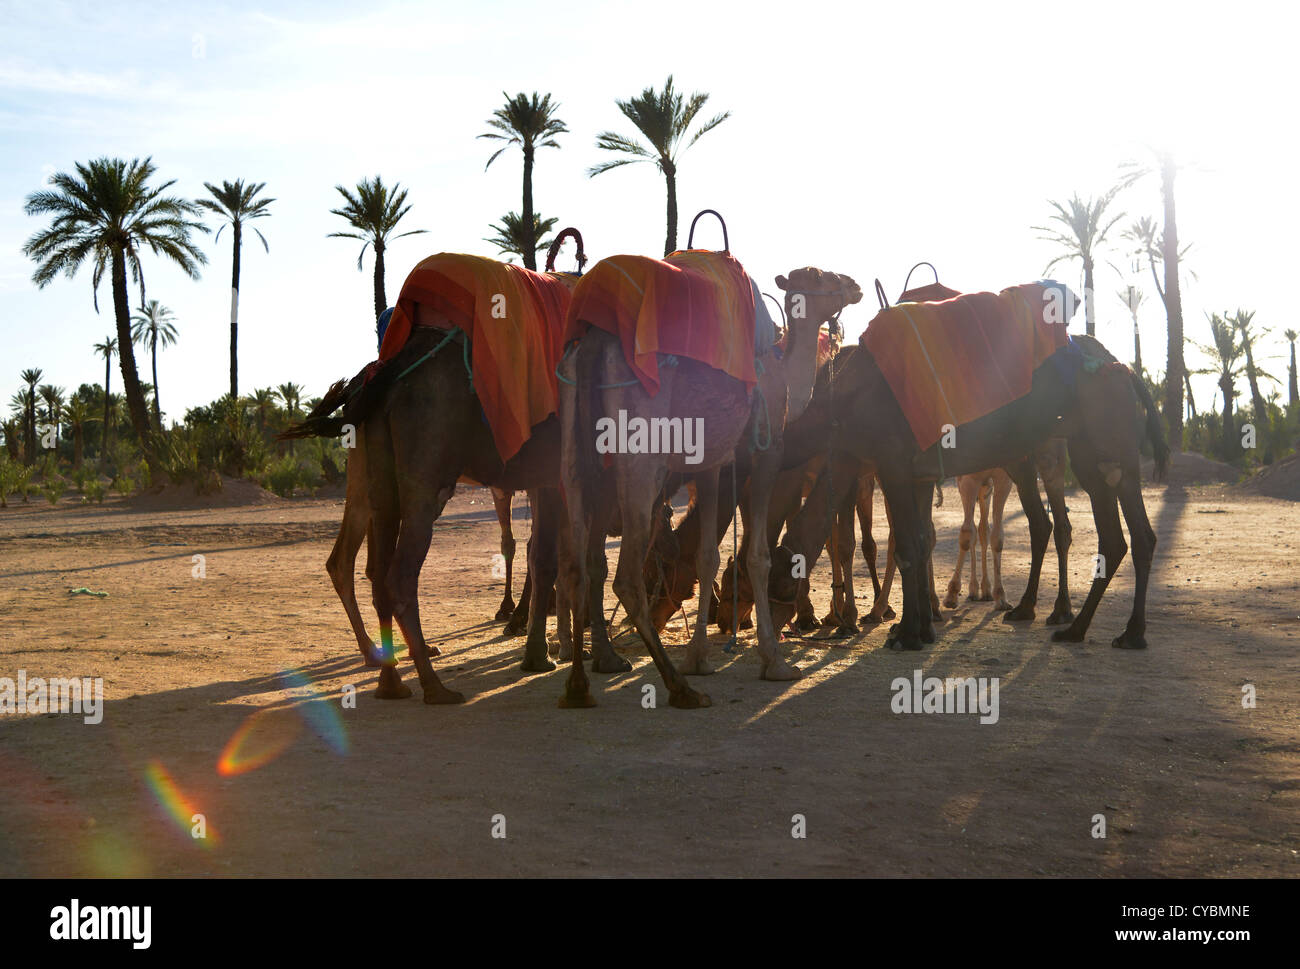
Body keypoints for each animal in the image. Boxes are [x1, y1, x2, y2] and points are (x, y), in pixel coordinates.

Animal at [558, 266, 862, 709]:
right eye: (822, 277)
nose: (853, 285)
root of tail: (594, 346)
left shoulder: (713, 465)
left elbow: (706, 557)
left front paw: (699, 657)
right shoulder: (766, 451)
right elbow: (757, 556)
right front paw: (774, 661)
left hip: (577, 460)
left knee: (578, 564)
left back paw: (582, 683)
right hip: (640, 460)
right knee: (625, 576)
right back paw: (679, 689)